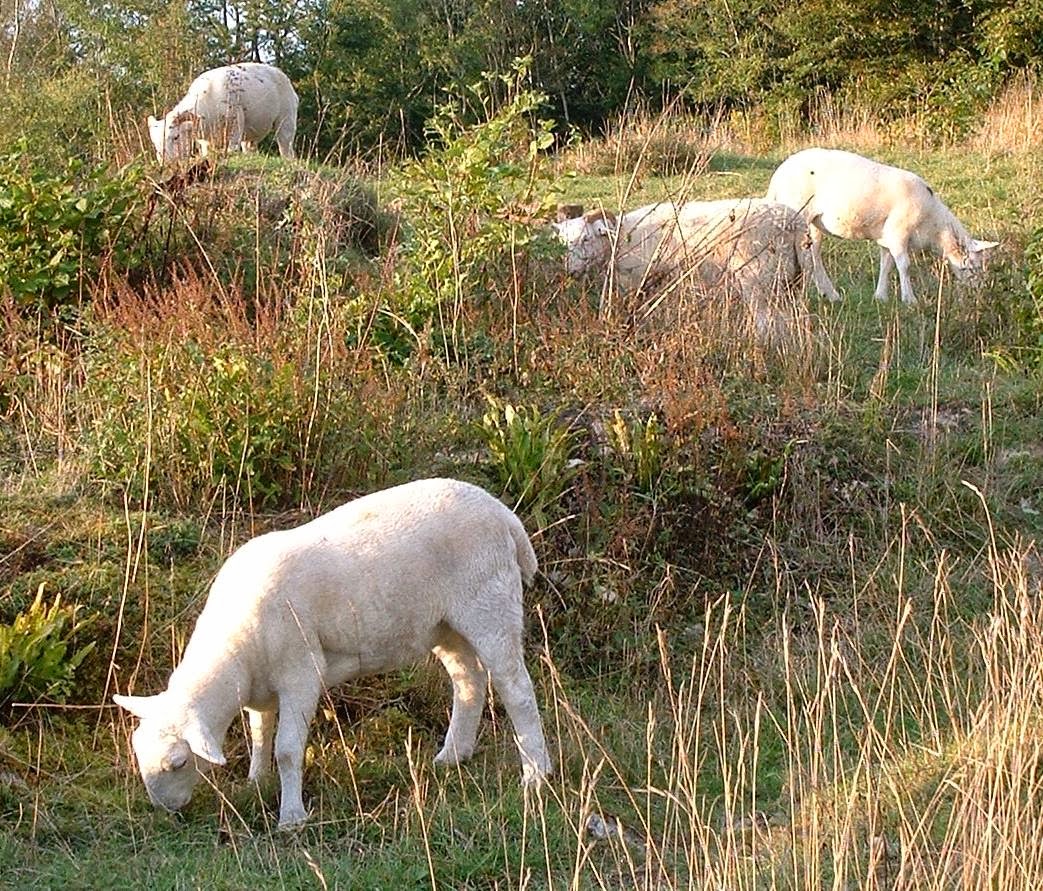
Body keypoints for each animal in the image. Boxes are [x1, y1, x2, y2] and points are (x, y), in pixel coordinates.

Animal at [114, 478, 551, 828]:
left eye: (178, 763)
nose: (167, 811)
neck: (237, 652)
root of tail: (504, 516)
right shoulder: (260, 685)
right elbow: (259, 732)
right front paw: (257, 779)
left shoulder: (300, 673)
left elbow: (288, 749)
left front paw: (291, 817)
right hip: (444, 624)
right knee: (469, 681)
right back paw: (453, 755)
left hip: (489, 603)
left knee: (516, 689)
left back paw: (536, 774)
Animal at [766, 147, 998, 305]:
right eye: (971, 267)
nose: (979, 292)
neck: (934, 227)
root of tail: (778, 176)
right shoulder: (899, 232)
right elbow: (904, 265)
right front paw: (909, 299)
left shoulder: (886, 236)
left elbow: (886, 264)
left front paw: (881, 296)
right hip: (796, 213)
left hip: (813, 223)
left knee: (813, 253)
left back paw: (830, 294)